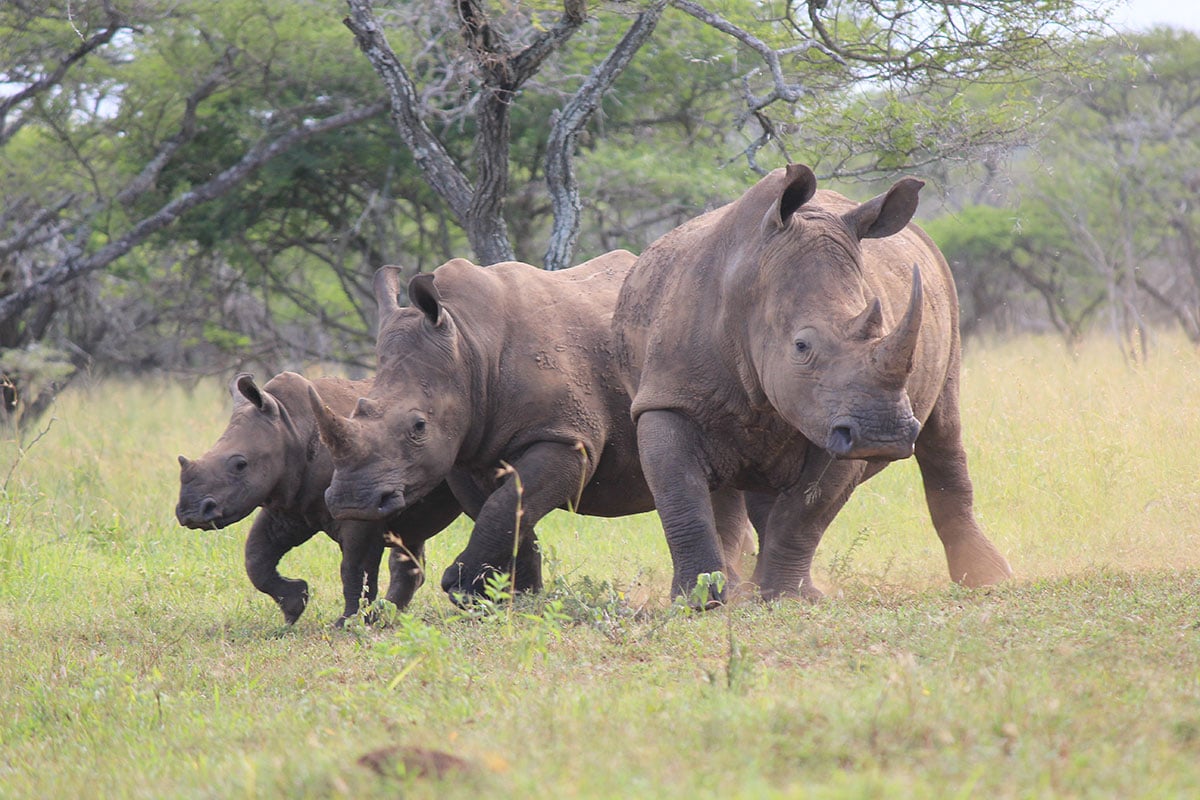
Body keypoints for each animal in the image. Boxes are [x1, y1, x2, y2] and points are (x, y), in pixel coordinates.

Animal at [175, 371, 462, 624]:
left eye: (240, 465)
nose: (191, 513)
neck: (291, 425)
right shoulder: (292, 505)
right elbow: (256, 557)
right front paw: (294, 606)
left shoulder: (360, 509)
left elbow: (353, 568)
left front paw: (348, 623)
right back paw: (387, 615)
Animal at [309, 250, 755, 602]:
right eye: (360, 407)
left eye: (418, 426)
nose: (352, 502)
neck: (469, 348)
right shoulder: (467, 453)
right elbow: (507, 509)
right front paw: (513, 597)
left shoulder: (565, 438)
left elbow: (504, 507)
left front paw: (462, 588)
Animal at [612, 164, 1013, 603]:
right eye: (801, 346)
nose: (883, 435)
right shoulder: (668, 396)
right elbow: (680, 497)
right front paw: (699, 600)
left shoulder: (835, 420)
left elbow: (807, 511)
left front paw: (789, 597)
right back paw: (736, 587)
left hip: (949, 305)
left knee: (943, 429)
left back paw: (989, 580)